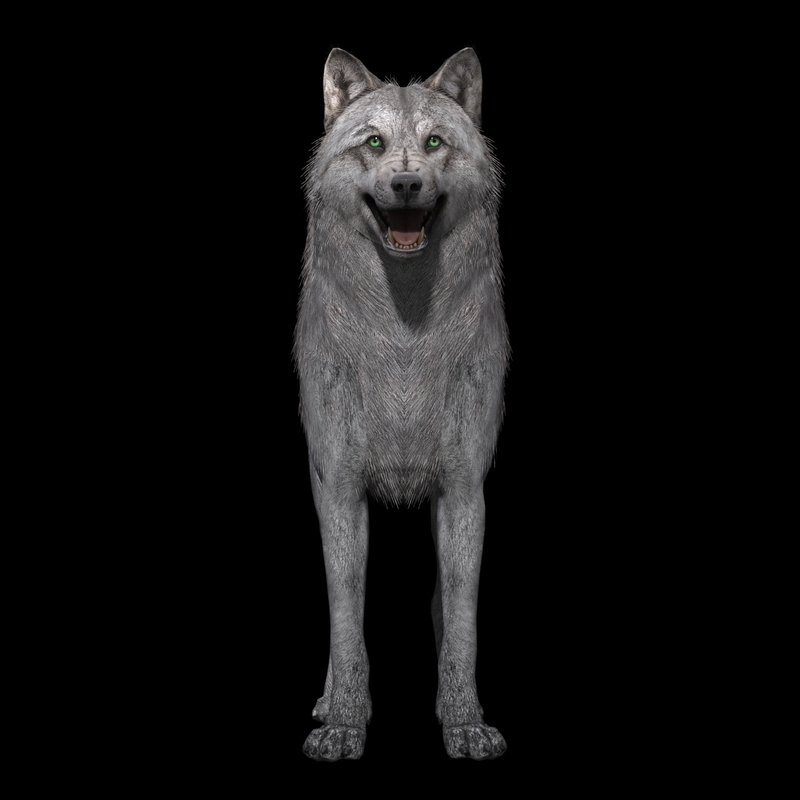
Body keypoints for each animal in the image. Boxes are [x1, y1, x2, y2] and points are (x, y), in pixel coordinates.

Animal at [294, 47, 510, 761]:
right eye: (374, 144)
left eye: (434, 143)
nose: (409, 184)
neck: (404, 338)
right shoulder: (339, 491)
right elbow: (345, 623)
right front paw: (342, 724)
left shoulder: (464, 492)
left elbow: (463, 624)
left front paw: (465, 722)